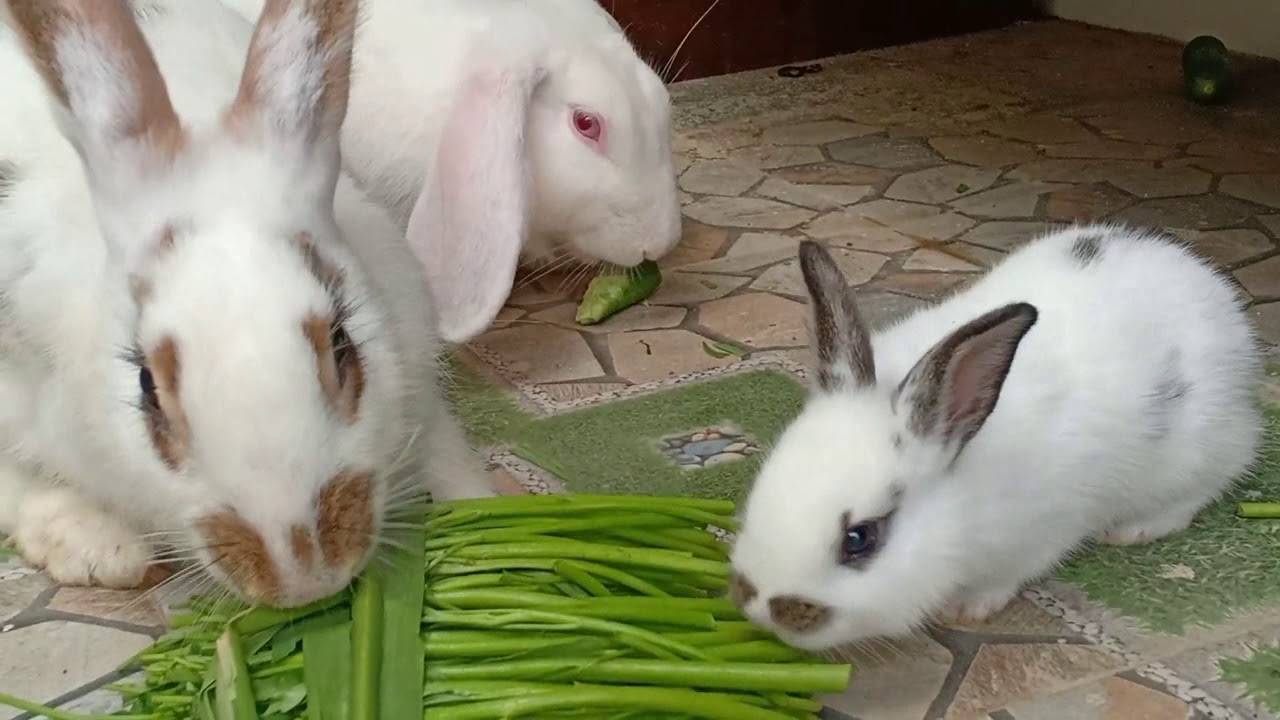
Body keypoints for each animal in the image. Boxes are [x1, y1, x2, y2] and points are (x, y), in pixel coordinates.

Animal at [727, 227, 1263, 651]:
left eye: (860, 539)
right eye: (760, 493)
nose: (768, 607)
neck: (962, 497)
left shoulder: (1043, 530)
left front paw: (966, 608)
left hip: (1196, 451)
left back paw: (1136, 529)